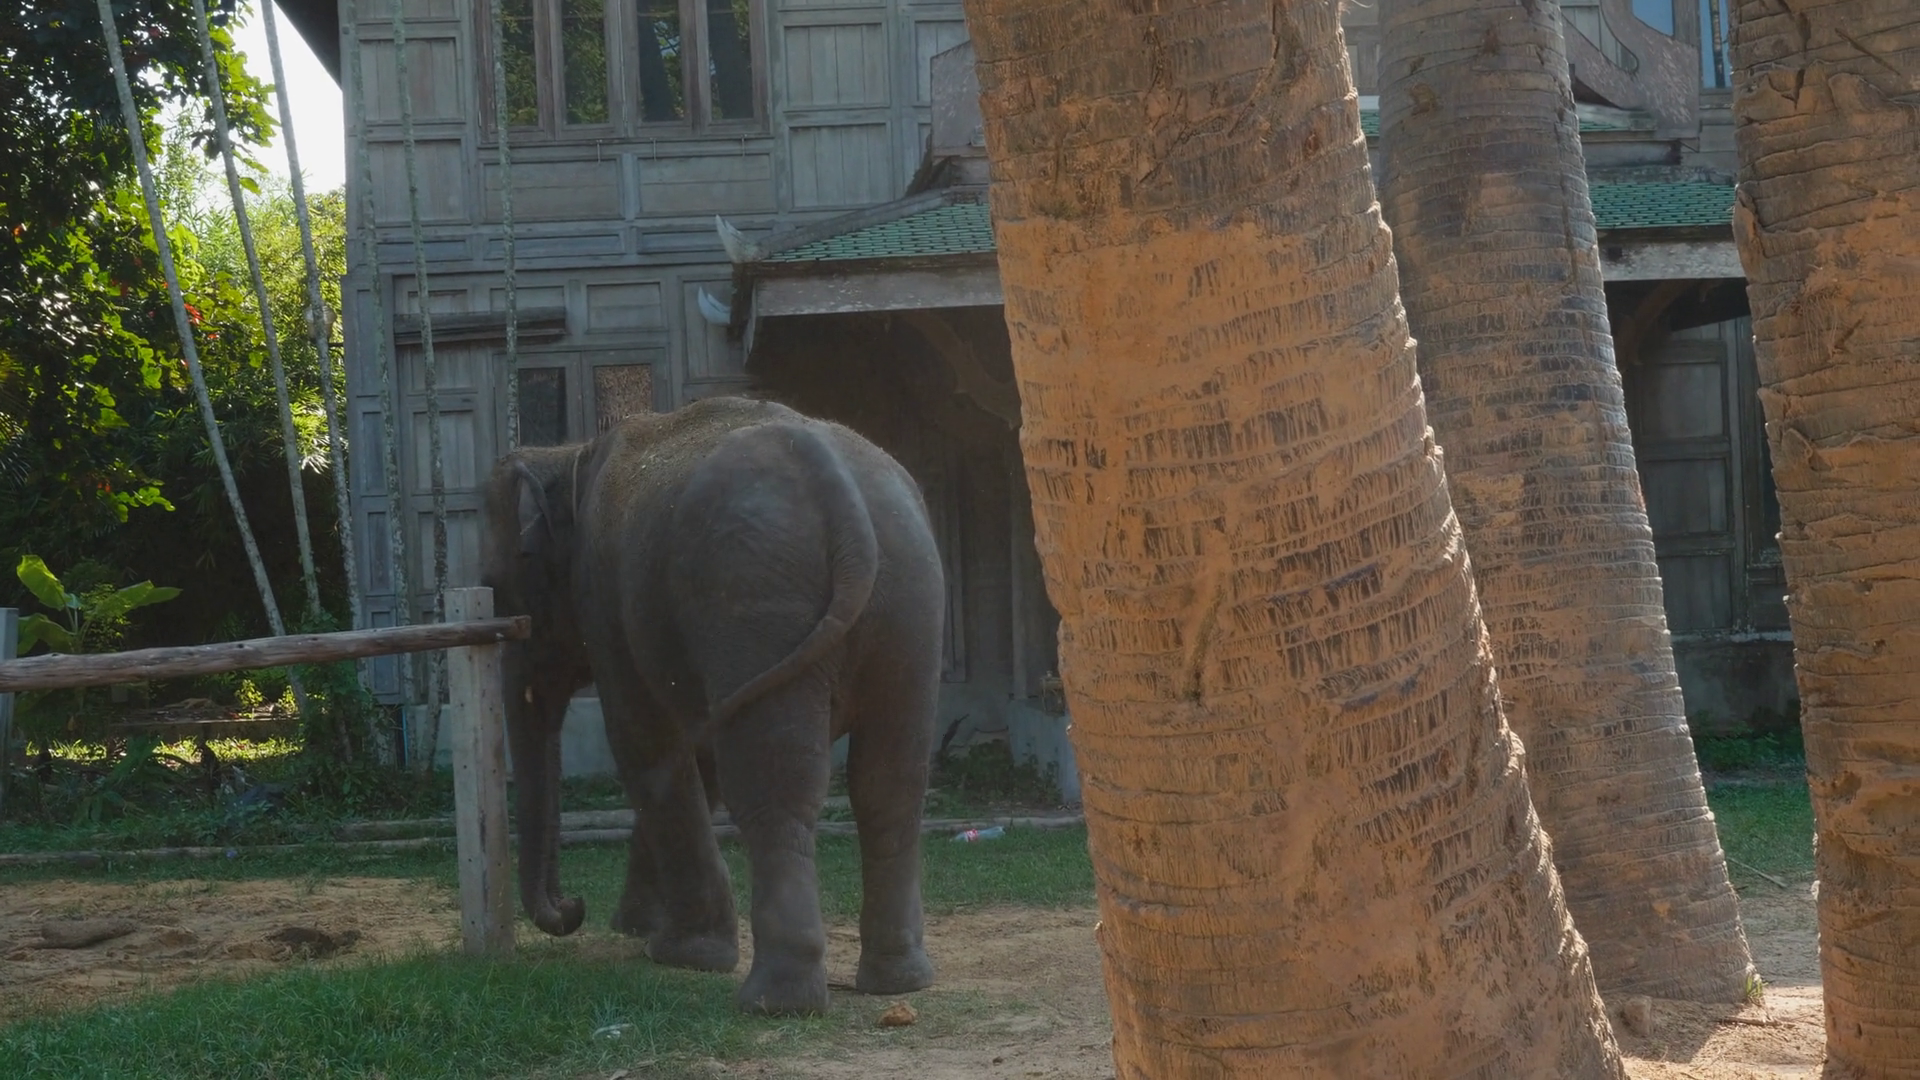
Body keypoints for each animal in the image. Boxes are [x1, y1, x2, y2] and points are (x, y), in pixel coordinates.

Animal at [478, 396, 946, 1015]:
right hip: (909, 604)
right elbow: (694, 756)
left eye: (495, 587)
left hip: (756, 602)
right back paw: (900, 981)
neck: (570, 454)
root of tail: (840, 488)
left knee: (774, 786)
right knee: (890, 785)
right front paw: (639, 929)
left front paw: (680, 953)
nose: (572, 908)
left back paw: (776, 1002)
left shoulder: (607, 599)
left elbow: (643, 740)